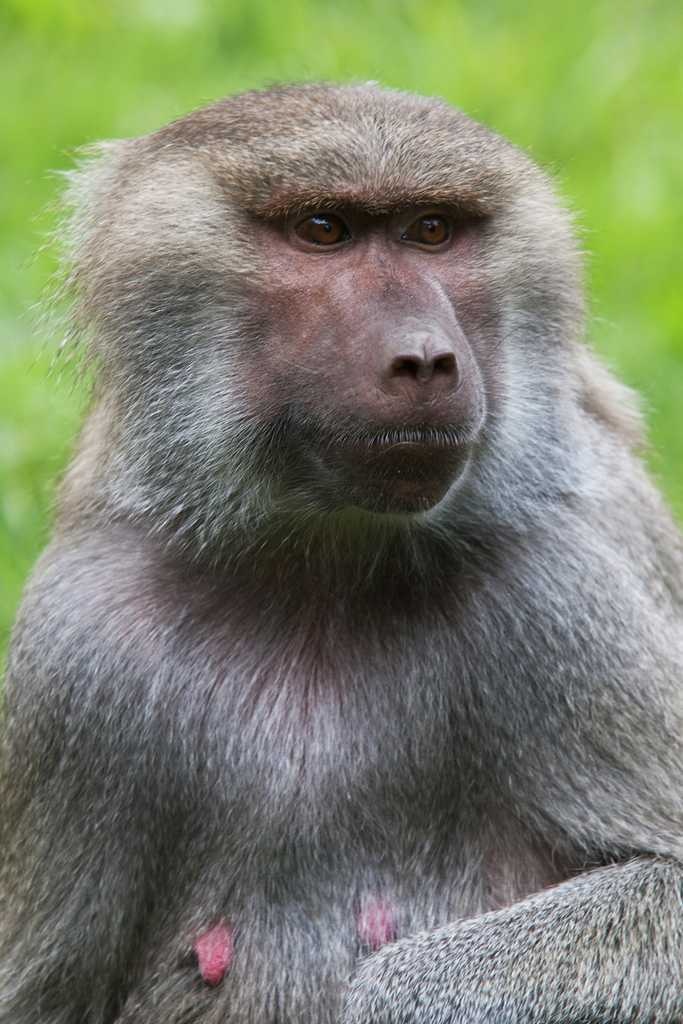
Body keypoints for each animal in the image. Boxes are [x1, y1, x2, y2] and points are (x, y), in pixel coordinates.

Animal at [1, 81, 682, 1024]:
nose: (425, 358)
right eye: (323, 230)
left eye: (432, 230)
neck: (321, 569)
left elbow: (664, 889)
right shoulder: (75, 650)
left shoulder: (561, 594)